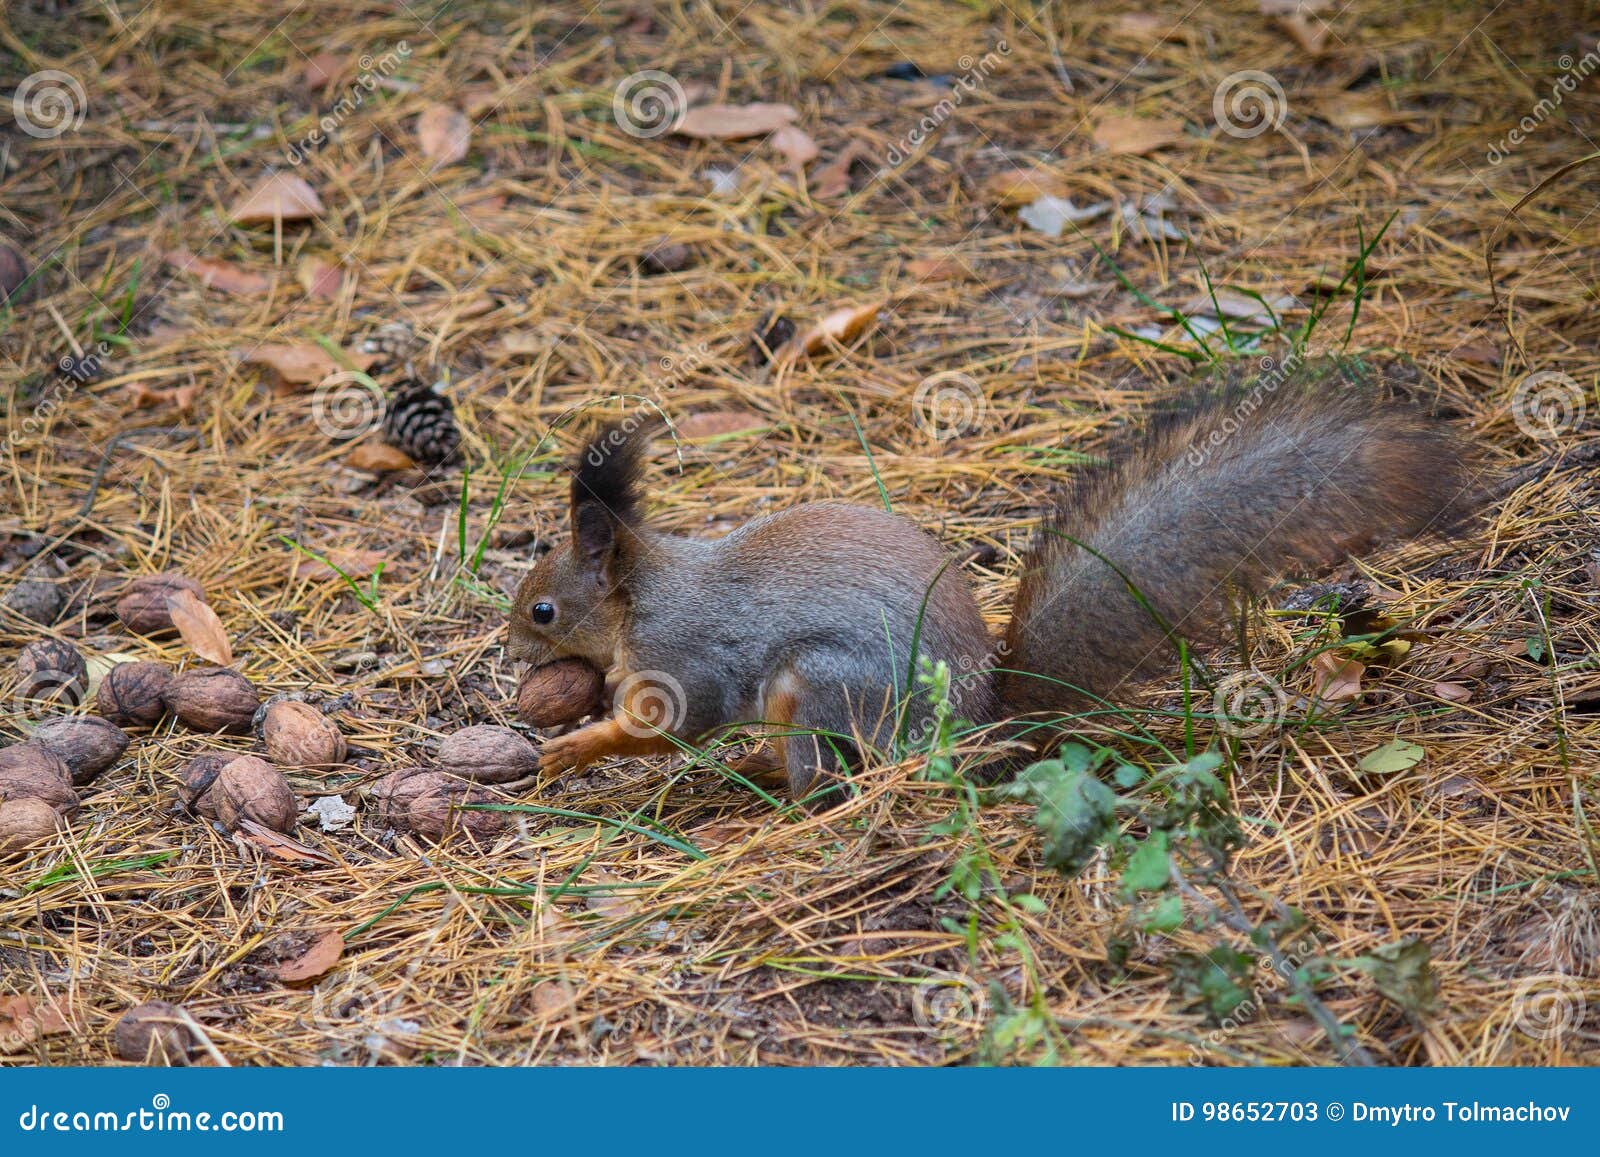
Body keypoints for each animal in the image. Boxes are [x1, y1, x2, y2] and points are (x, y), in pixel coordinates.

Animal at [508, 374, 1473, 801]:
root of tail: (980, 724)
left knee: (830, 780)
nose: (514, 653)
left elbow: (667, 727)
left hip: (820, 686)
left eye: (543, 607)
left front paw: (576, 745)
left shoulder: (686, 660)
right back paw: (757, 764)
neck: (642, 595)